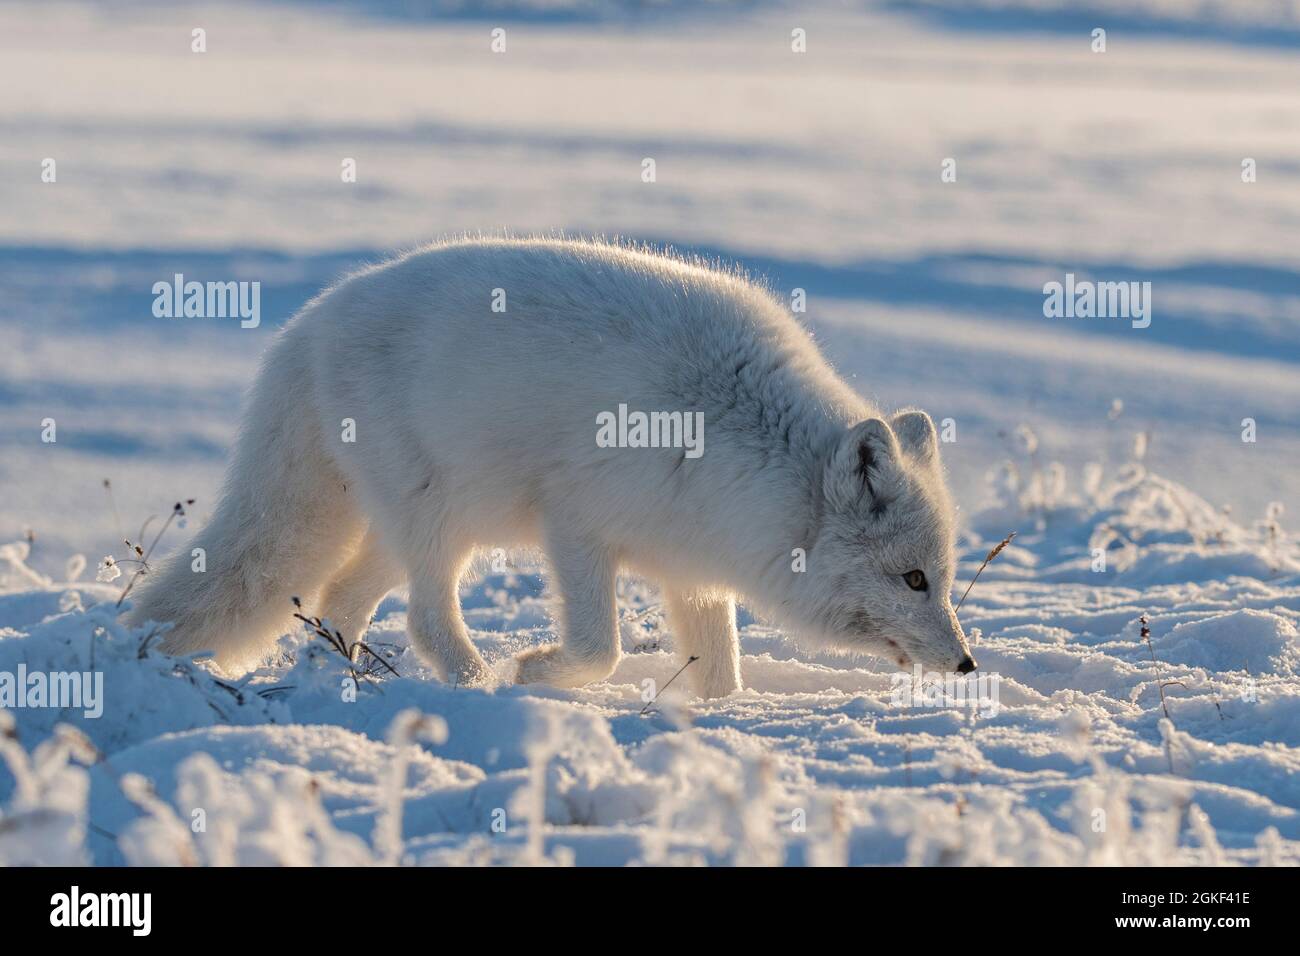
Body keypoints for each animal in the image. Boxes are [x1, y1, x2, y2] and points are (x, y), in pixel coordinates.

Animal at [125, 238, 975, 699]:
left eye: (942, 577)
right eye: (914, 579)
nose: (968, 664)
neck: (739, 436)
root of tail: (304, 327)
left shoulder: (692, 565)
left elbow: (722, 676)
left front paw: (718, 721)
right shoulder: (575, 523)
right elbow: (602, 649)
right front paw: (534, 671)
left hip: (406, 529)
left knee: (339, 602)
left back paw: (335, 682)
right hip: (439, 521)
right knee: (425, 619)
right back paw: (479, 686)